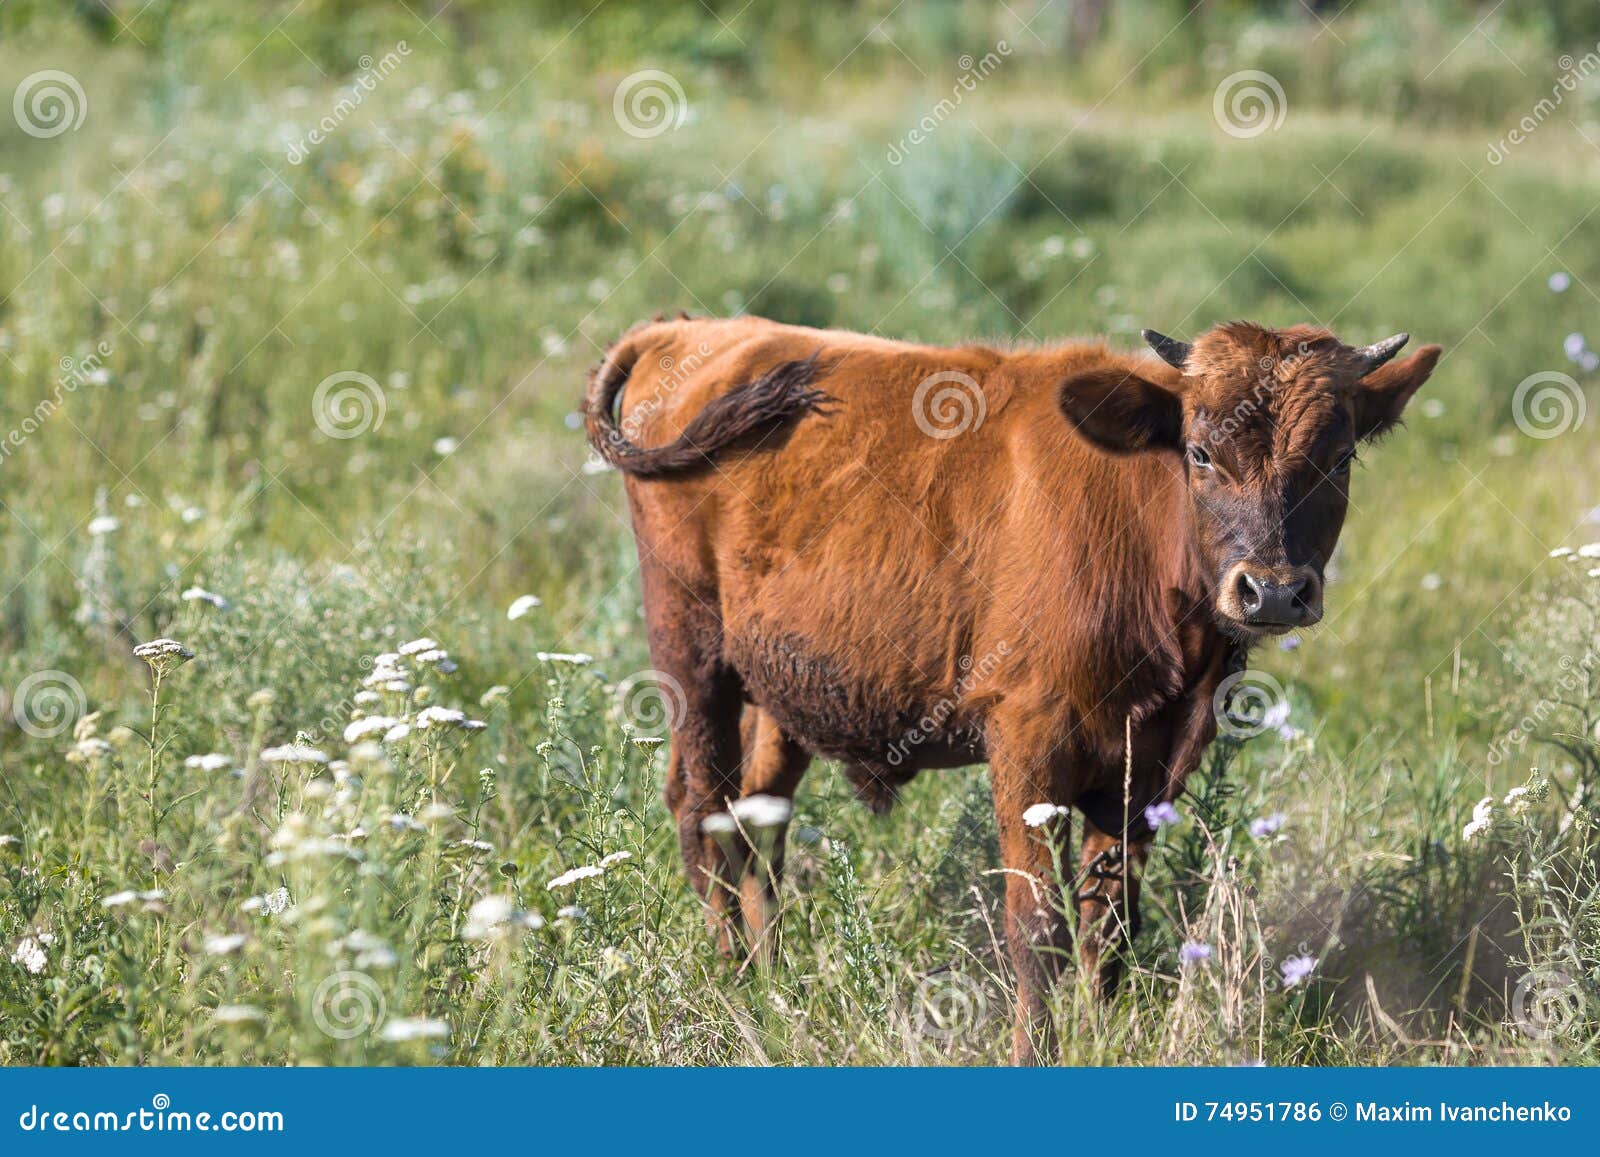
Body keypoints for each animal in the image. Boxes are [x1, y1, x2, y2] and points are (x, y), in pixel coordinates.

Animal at [583, 315, 1440, 1062]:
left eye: (1339, 457)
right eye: (1199, 452)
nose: (1273, 590)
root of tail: (687, 332)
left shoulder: (1149, 765)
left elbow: (1108, 923)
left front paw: (1099, 1036)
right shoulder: (1029, 744)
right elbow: (1037, 926)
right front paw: (1039, 1050)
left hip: (778, 689)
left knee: (758, 819)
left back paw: (775, 979)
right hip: (692, 654)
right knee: (703, 811)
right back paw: (734, 982)